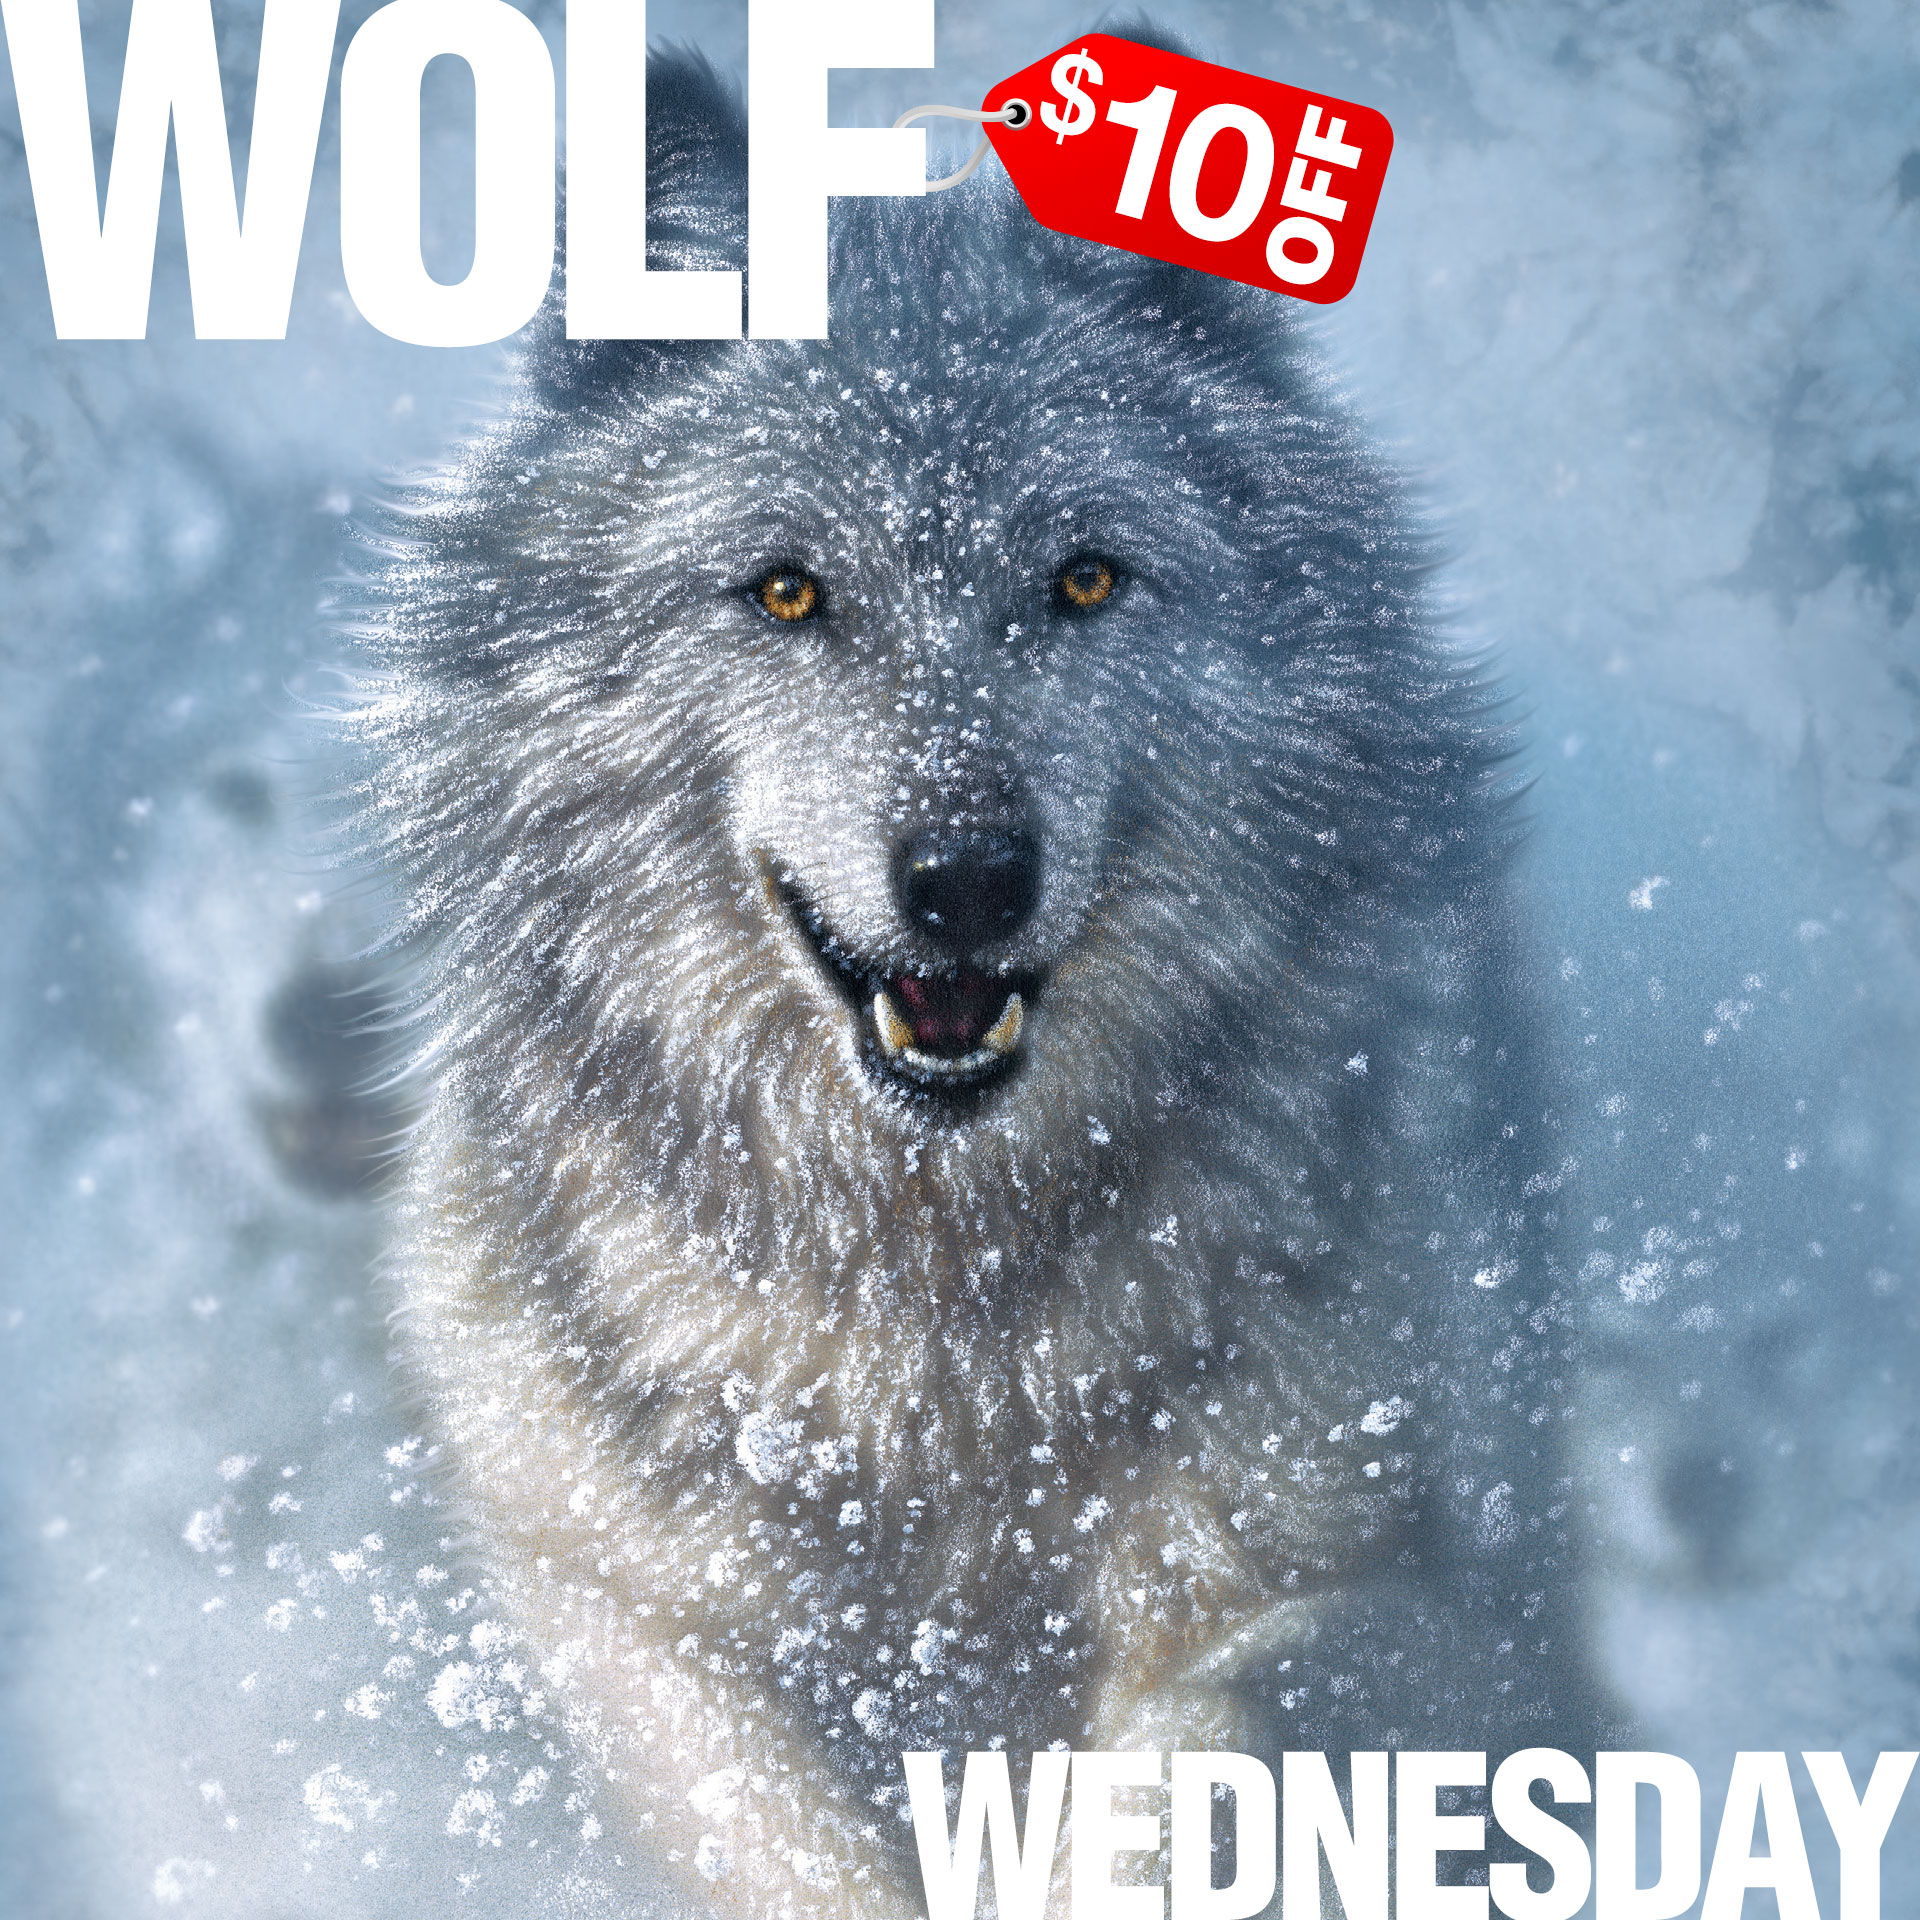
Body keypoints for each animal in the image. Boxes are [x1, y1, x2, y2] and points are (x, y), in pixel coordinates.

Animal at [354, 42, 1595, 1918]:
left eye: (1082, 576)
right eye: (787, 591)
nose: (963, 879)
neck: (936, 1332)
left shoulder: (1435, 1602)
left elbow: (1209, 1736)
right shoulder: (622, 1609)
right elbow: (788, 1824)